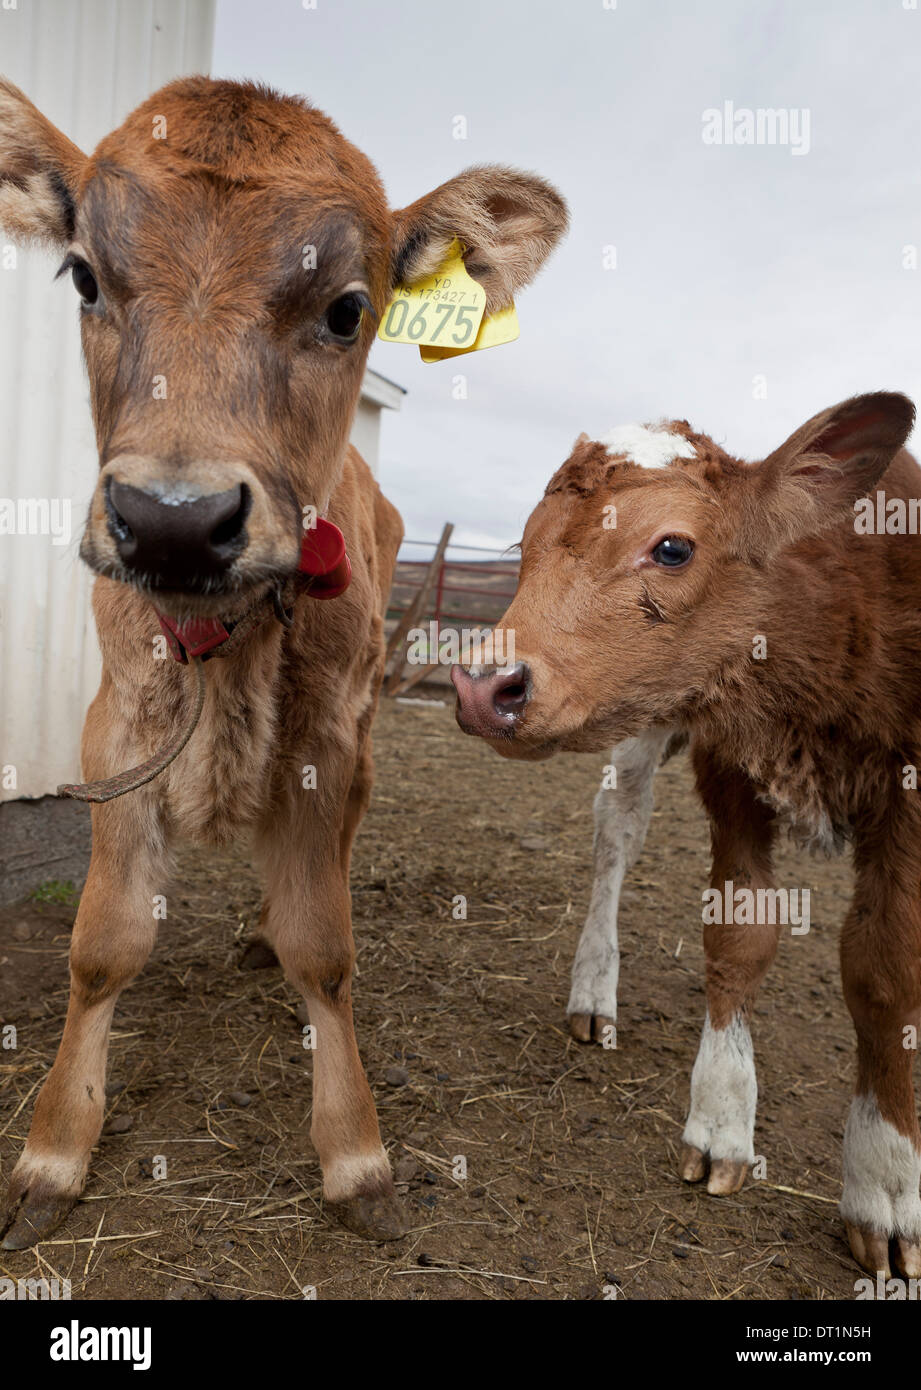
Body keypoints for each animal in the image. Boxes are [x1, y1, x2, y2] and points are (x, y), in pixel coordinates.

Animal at [0, 75, 567, 1249]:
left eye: (348, 309)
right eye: (85, 276)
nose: (172, 519)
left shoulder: (323, 741)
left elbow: (324, 942)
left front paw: (353, 1150)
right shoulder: (115, 731)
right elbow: (102, 941)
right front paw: (55, 1147)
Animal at [451, 394, 921, 1278]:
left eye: (671, 547)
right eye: (523, 547)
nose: (481, 686)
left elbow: (885, 970)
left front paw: (885, 1181)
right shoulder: (727, 757)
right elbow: (739, 935)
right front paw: (722, 1117)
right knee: (617, 831)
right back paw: (593, 988)